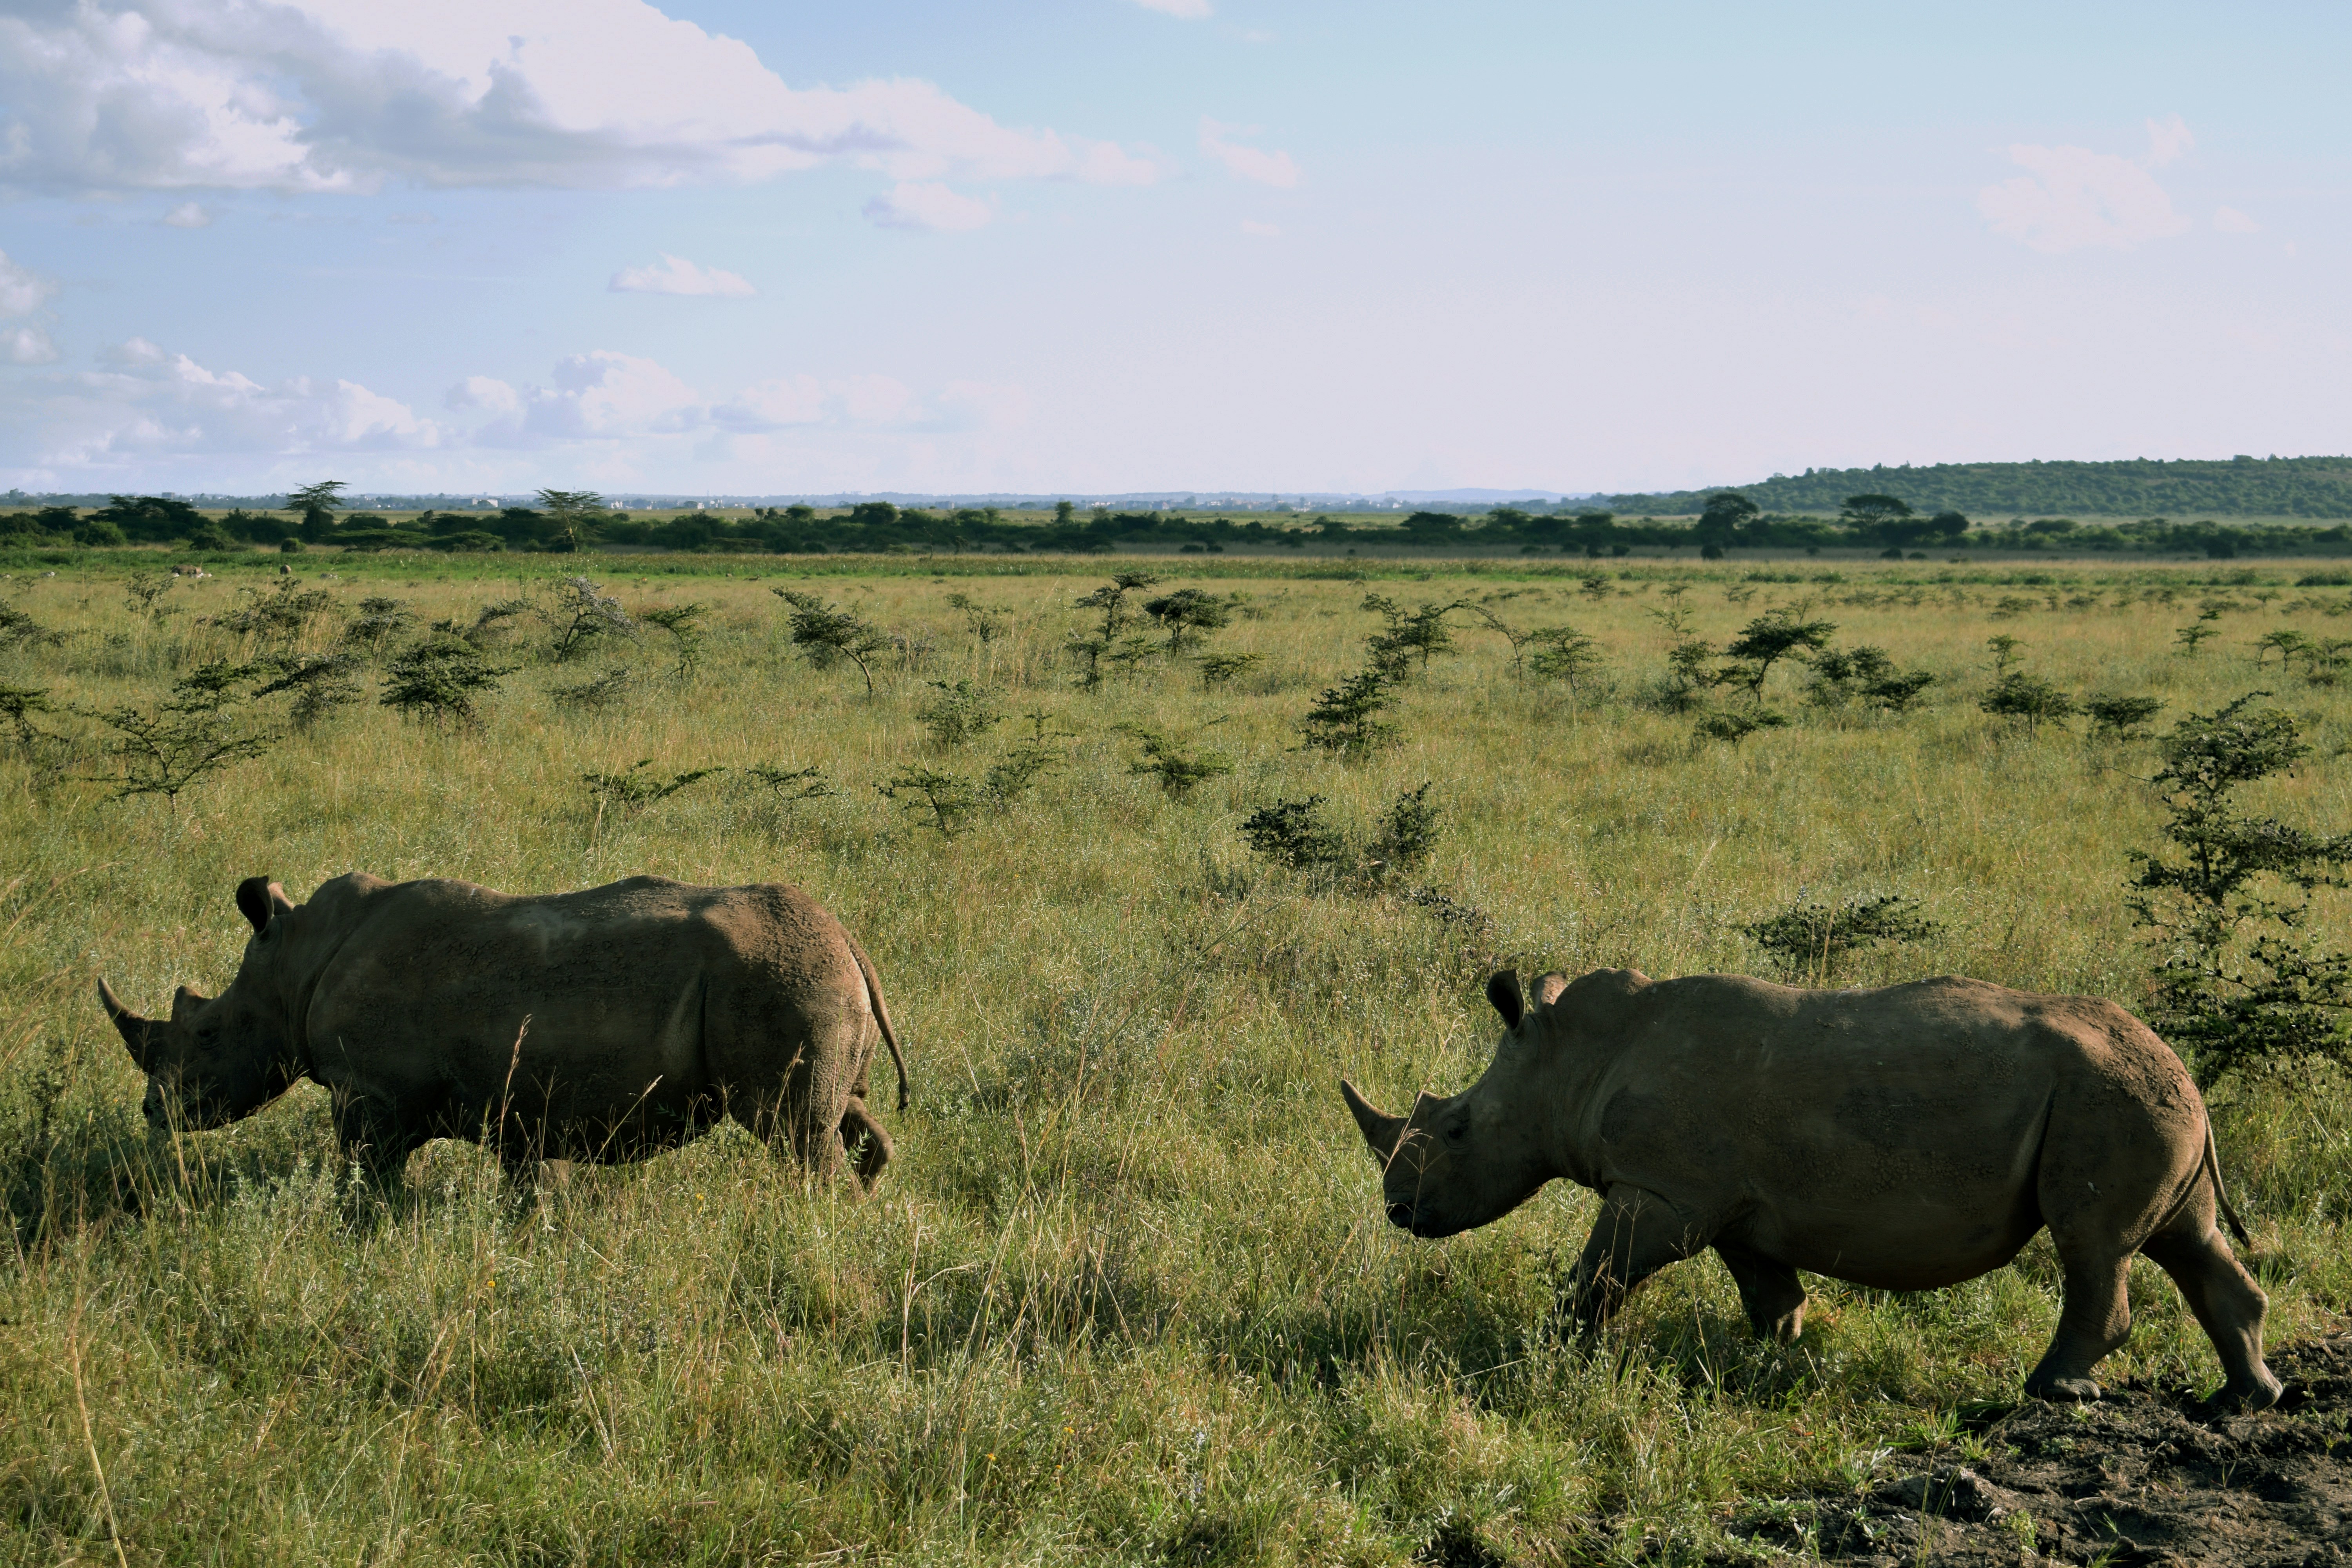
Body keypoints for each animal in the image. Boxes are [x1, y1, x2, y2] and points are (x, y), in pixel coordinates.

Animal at [99, 872, 909, 1188]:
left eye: (208, 1034)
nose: (151, 1112)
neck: (296, 966)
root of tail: (848, 940)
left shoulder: (370, 1096)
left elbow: (363, 1184)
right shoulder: (520, 1110)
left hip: (776, 981)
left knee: (796, 1135)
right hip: (809, 982)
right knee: (841, 1118)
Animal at [1341, 968, 2282, 1412]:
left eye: (1458, 1130)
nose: (1398, 1212)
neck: (1572, 1058)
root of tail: (2184, 1069)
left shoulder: (1660, 1192)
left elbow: (1597, 1276)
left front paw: (1547, 1356)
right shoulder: (1723, 1202)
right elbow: (1766, 1287)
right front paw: (1773, 1355)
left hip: (2106, 1100)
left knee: (2093, 1245)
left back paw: (2054, 1390)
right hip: (2142, 1099)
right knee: (2186, 1239)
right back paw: (2246, 1397)